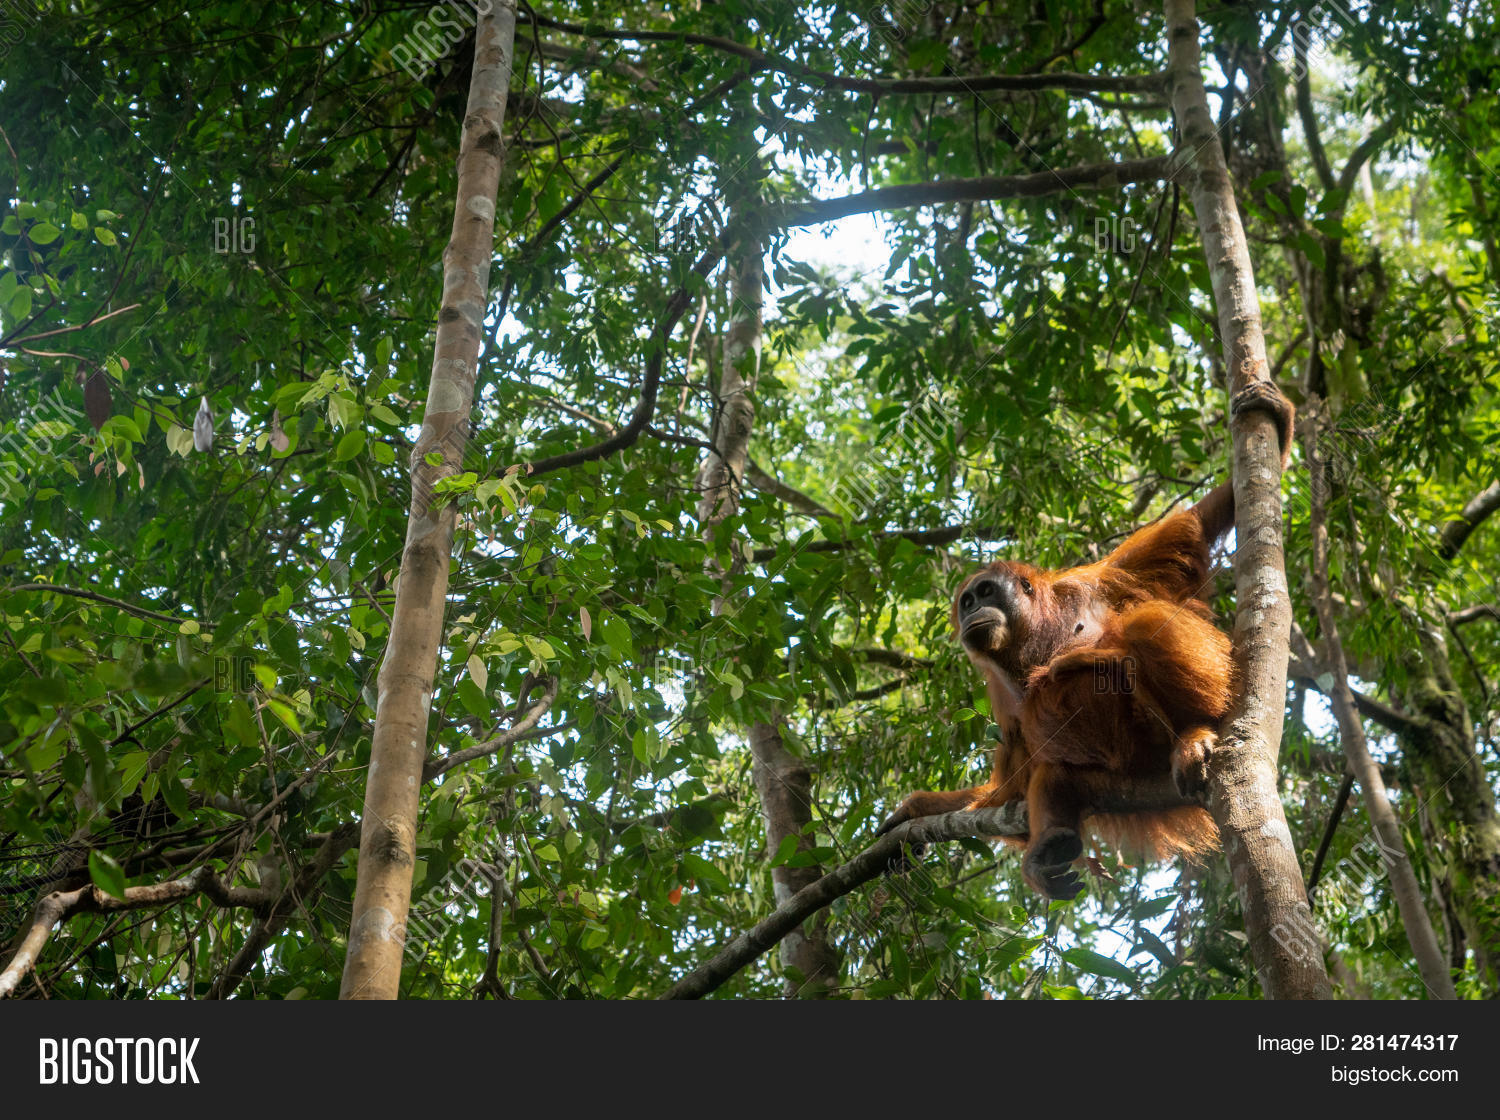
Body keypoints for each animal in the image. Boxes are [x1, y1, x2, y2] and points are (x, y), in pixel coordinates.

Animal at [879, 382, 1295, 899]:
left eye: (987, 592)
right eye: (967, 601)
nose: (973, 611)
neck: (1036, 638)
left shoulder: (1094, 581)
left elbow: (1197, 523)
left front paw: (1278, 417)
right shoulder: (998, 696)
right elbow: (1008, 787)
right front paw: (912, 810)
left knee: (1143, 628)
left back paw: (1194, 734)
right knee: (1049, 768)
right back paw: (1048, 849)